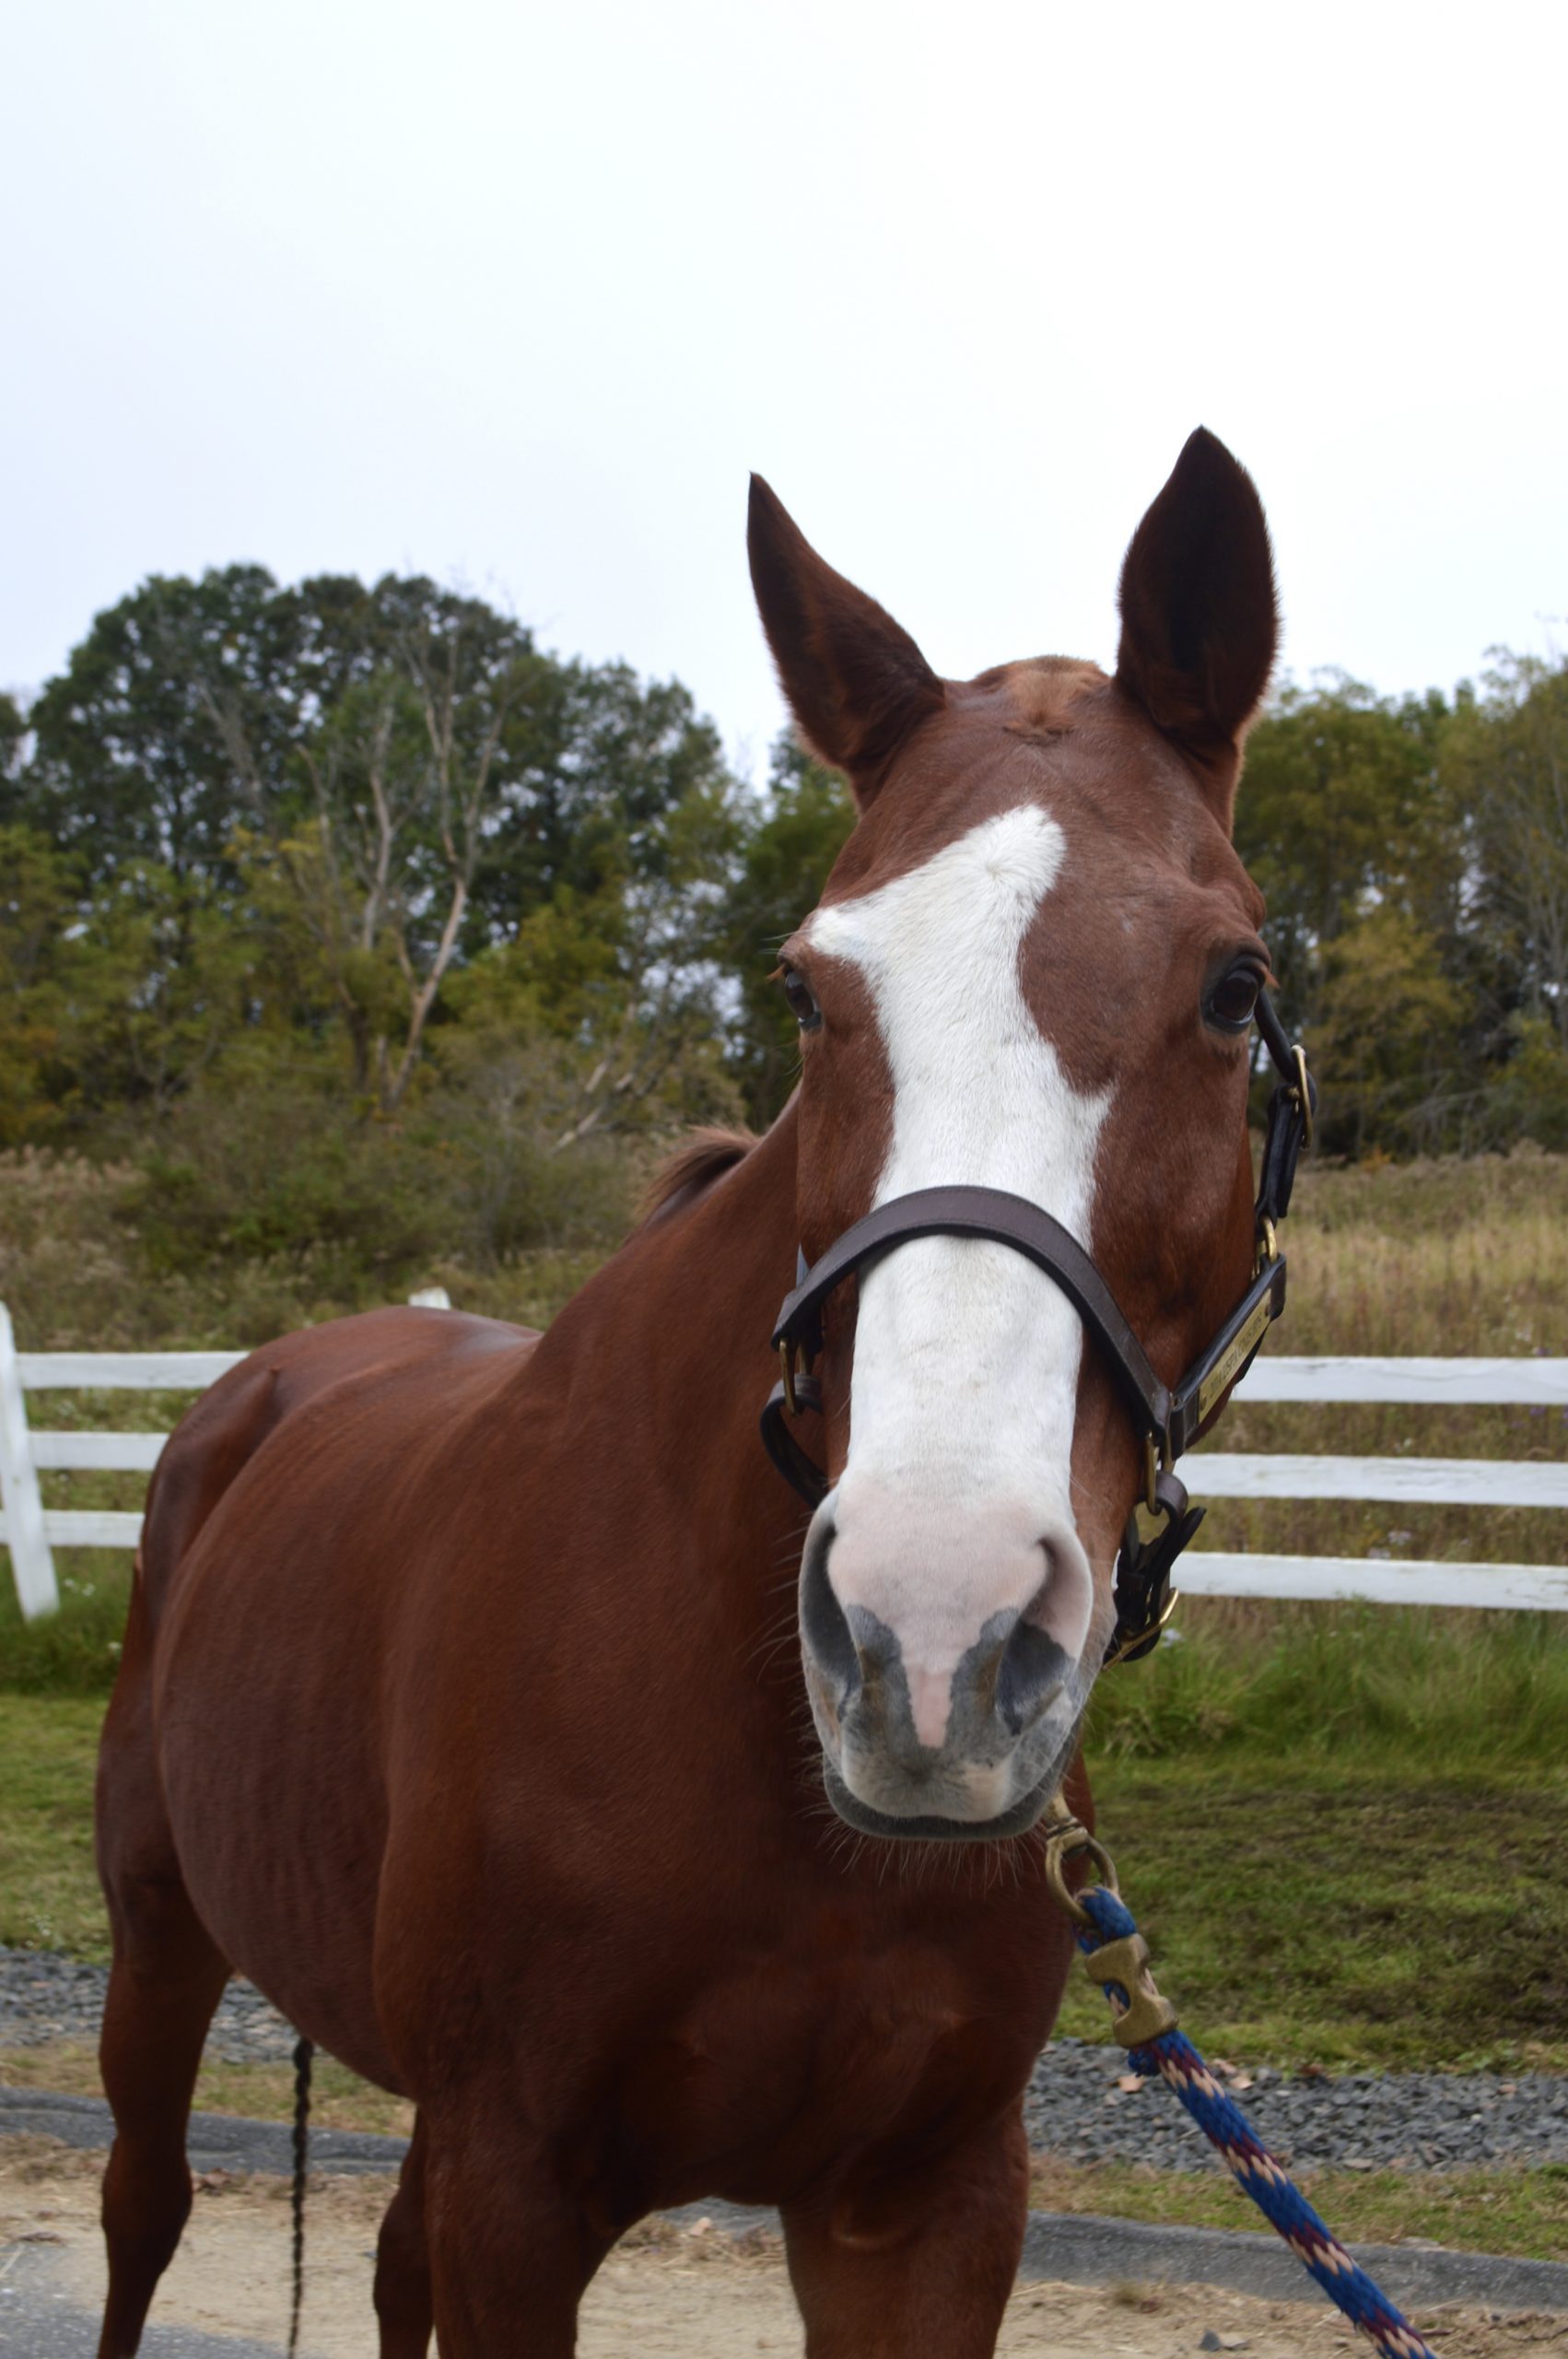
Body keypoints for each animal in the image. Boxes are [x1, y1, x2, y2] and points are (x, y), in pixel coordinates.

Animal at [93, 425, 1282, 2358]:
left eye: (1233, 988)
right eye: (805, 988)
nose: (929, 1644)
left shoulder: (924, 2206)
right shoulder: (519, 2186)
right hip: (161, 1935)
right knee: (145, 2203)